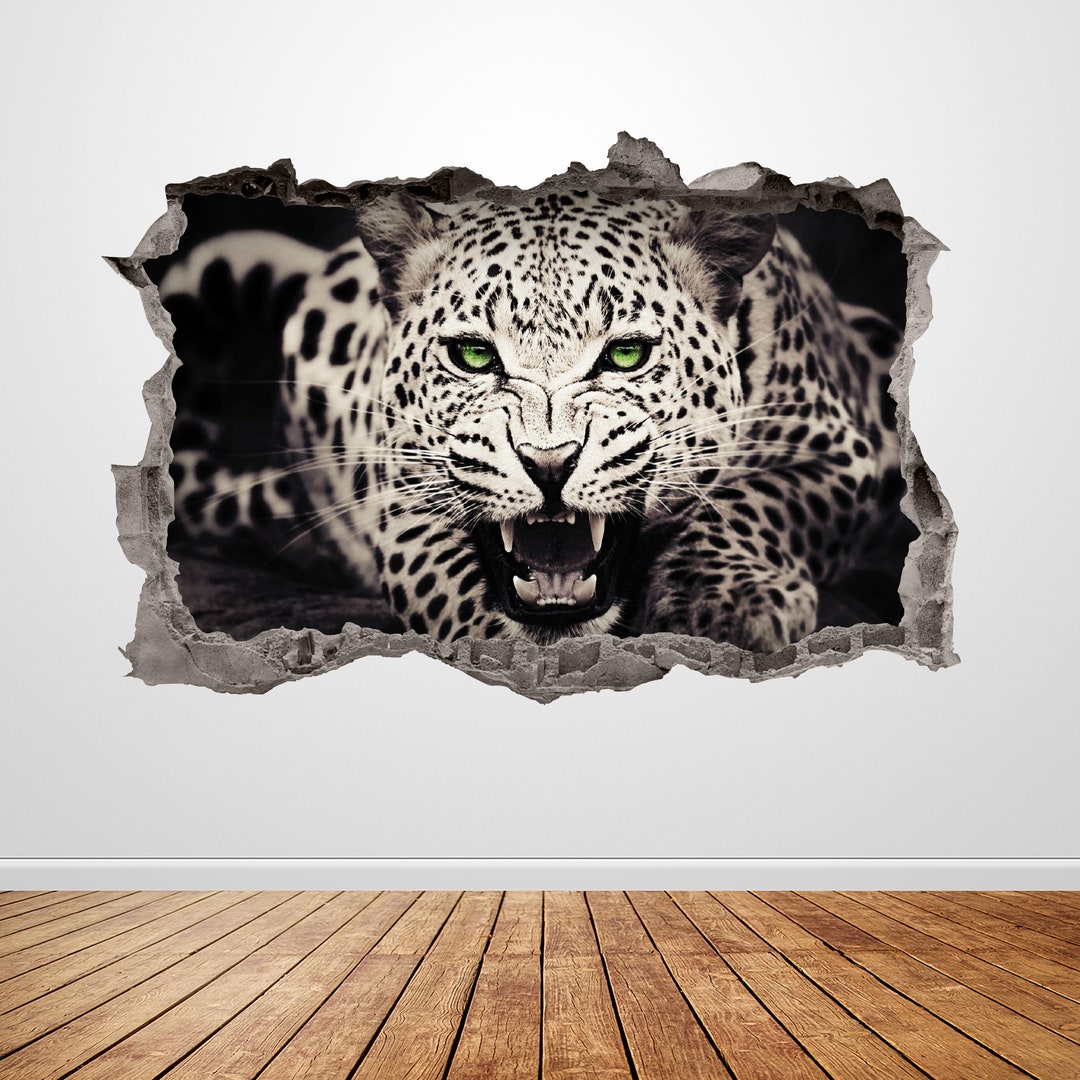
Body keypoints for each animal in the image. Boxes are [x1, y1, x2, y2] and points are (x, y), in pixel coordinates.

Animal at [157, 188, 913, 652]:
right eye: (472, 354)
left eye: (626, 354)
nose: (549, 463)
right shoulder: (400, 495)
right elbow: (446, 582)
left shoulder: (837, 452)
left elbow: (752, 502)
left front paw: (724, 605)